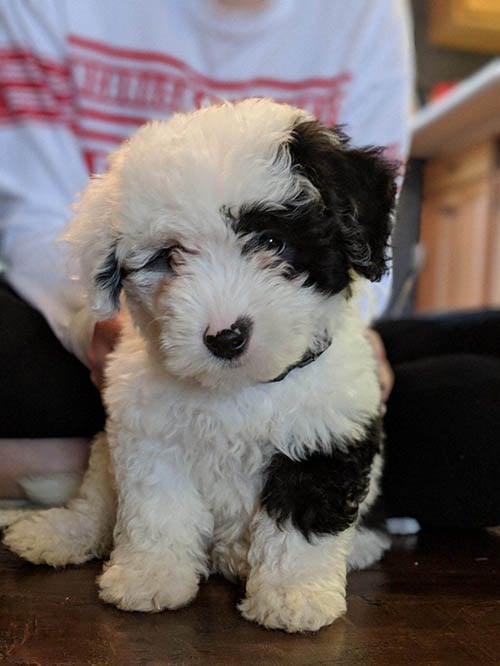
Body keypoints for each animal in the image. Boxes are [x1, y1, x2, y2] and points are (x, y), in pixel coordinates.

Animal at [1, 97, 396, 628]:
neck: (239, 388)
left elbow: (303, 521)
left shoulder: (325, 434)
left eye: (272, 242)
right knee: (97, 501)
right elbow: (159, 510)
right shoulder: (149, 436)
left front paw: (294, 594)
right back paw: (56, 532)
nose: (226, 337)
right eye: (170, 257)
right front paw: (152, 576)